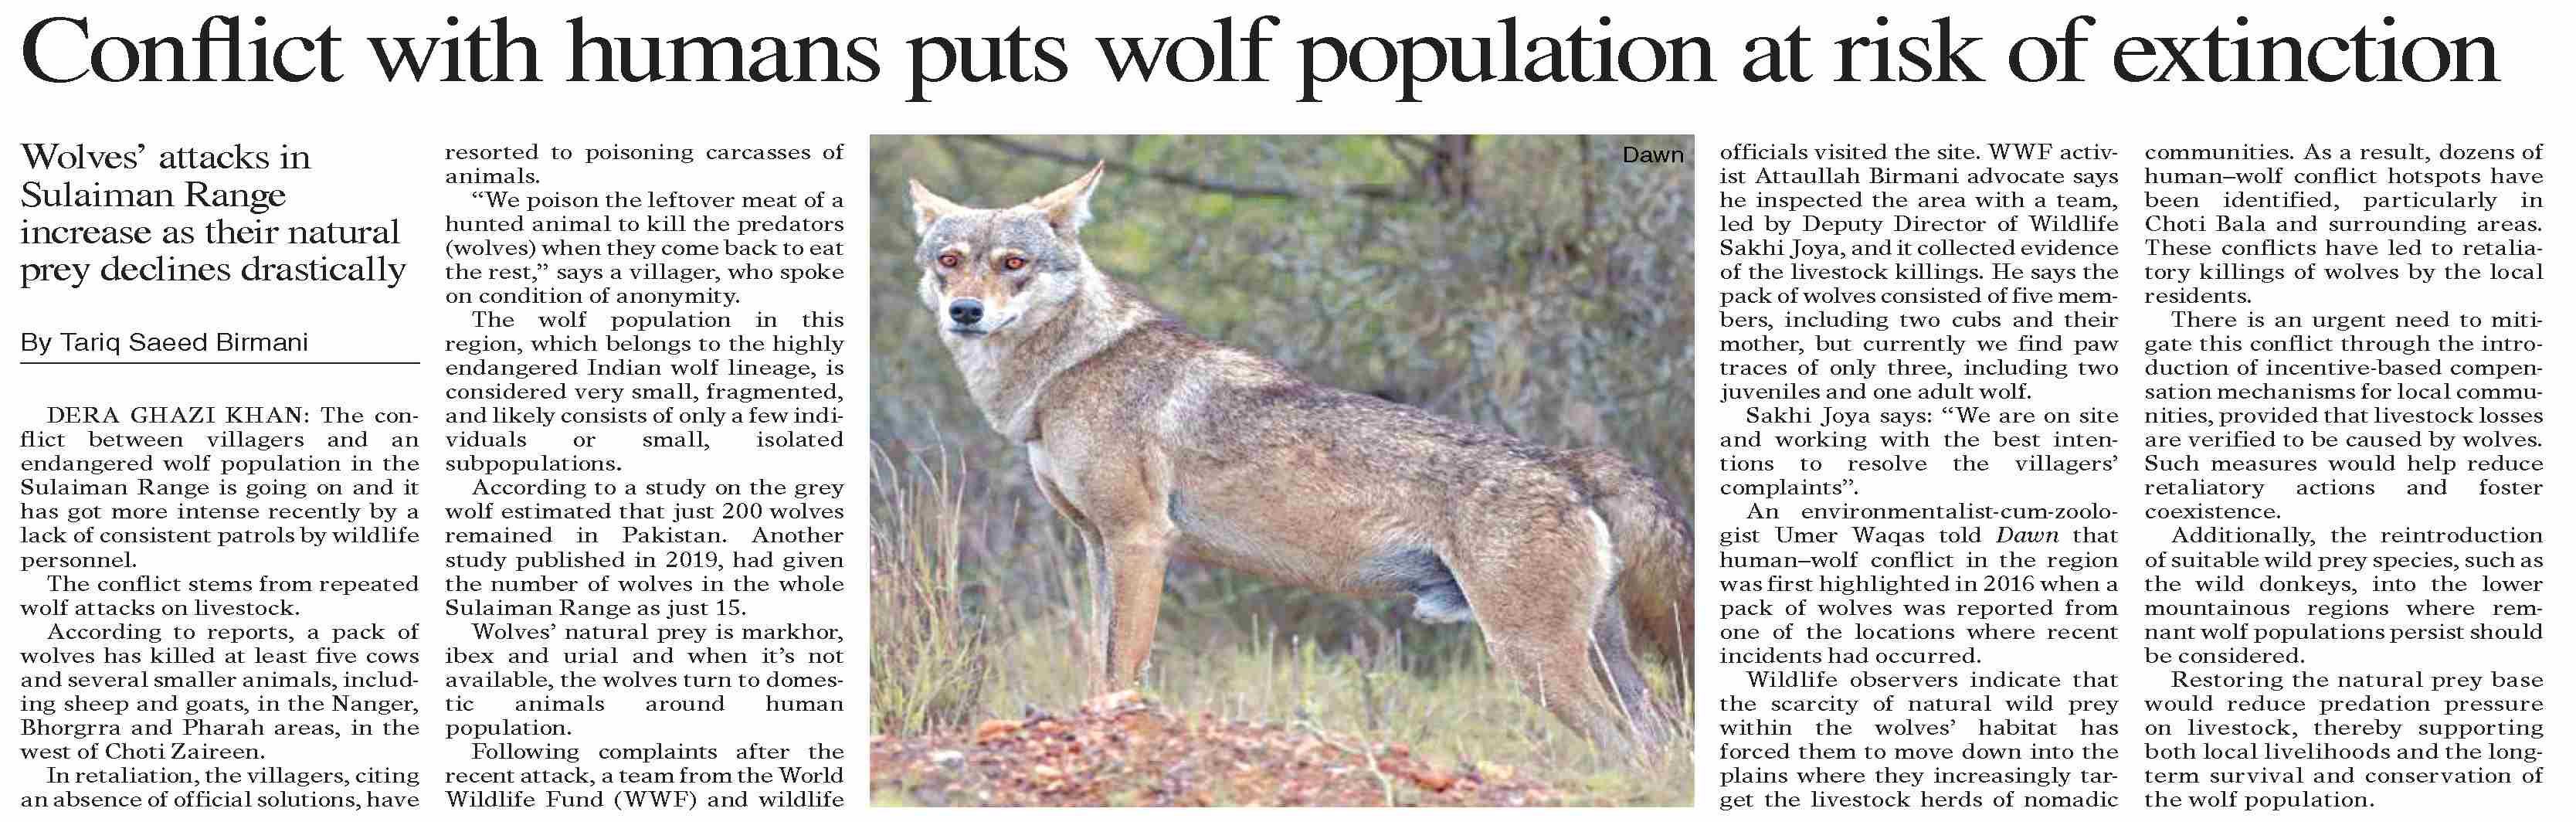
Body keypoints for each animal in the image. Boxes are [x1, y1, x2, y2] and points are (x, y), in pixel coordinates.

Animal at [906, 163, 1694, 752]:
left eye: (1013, 264)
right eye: (950, 262)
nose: (966, 313)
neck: (1063, 372)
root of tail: (1569, 462)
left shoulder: (1138, 540)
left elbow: (1123, 666)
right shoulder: (1097, 544)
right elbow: (1100, 666)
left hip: (1532, 658)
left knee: (1627, 743)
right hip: (1591, 655)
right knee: (1659, 739)